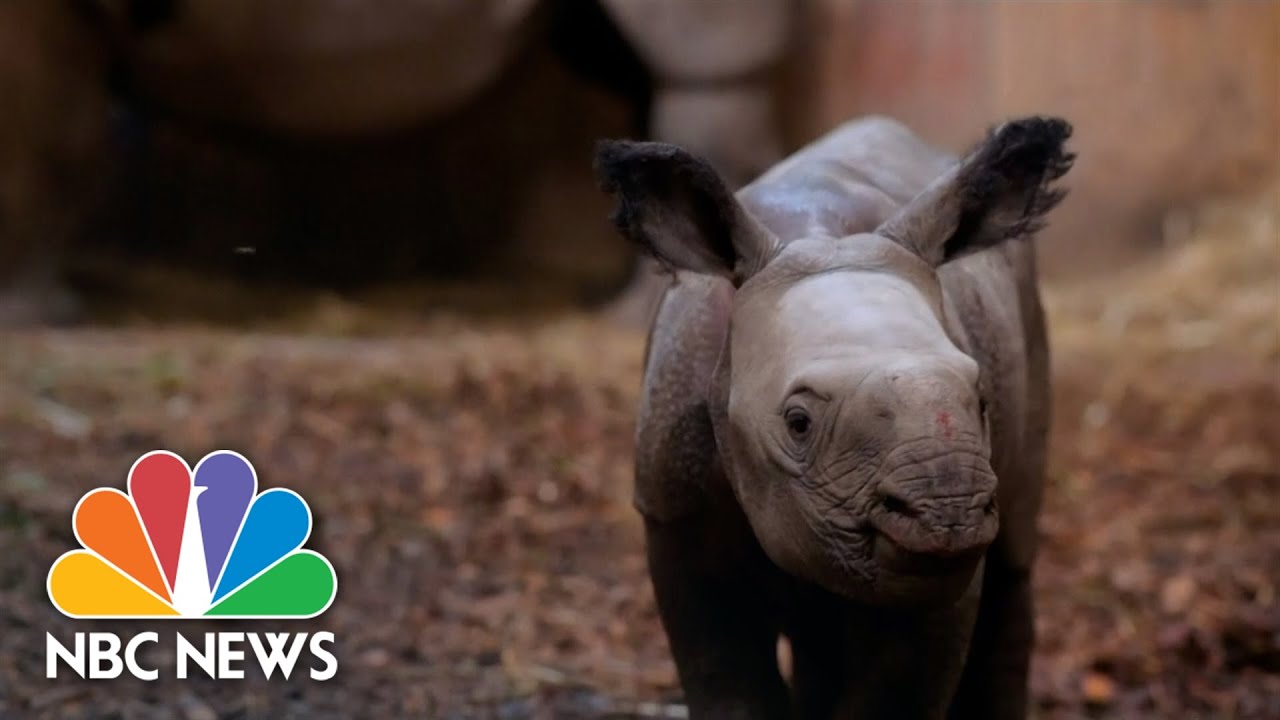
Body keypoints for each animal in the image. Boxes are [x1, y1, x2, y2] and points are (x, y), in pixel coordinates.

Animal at [596, 115, 1072, 719]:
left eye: (981, 399)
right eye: (798, 423)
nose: (949, 511)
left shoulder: (935, 572)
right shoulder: (674, 510)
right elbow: (729, 687)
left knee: (1014, 550)